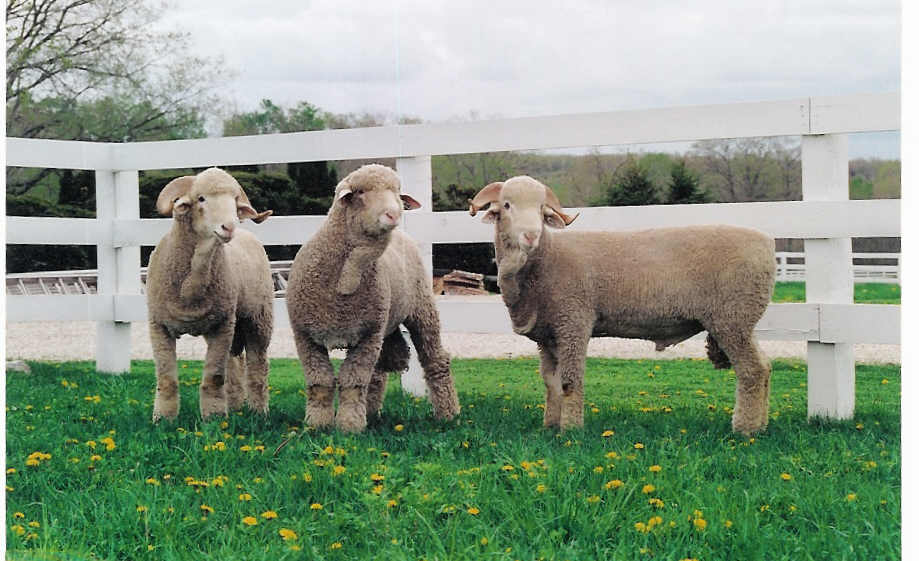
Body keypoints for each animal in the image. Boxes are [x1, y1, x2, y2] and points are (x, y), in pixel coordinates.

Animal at [147, 167, 274, 422]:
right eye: (201, 199)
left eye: (234, 200)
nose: (229, 227)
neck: (190, 289)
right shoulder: (158, 325)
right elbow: (166, 379)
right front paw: (163, 419)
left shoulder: (222, 325)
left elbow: (214, 377)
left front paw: (213, 418)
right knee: (235, 361)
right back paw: (234, 405)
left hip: (258, 318)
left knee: (257, 364)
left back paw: (259, 411)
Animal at [286, 164, 460, 433]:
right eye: (360, 192)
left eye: (397, 192)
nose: (393, 215)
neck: (343, 284)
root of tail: (403, 236)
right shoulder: (306, 336)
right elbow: (320, 381)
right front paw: (317, 424)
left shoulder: (368, 334)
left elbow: (353, 381)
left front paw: (349, 426)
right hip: (385, 324)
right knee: (378, 373)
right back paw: (371, 412)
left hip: (421, 309)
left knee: (436, 360)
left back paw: (448, 414)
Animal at [469, 176, 775, 434]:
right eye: (507, 205)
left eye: (542, 209)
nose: (531, 235)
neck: (545, 260)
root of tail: (767, 244)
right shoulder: (548, 335)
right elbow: (551, 383)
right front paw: (550, 426)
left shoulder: (574, 321)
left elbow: (569, 381)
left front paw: (570, 430)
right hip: (743, 320)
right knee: (765, 366)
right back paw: (761, 426)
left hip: (731, 317)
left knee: (752, 371)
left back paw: (744, 430)